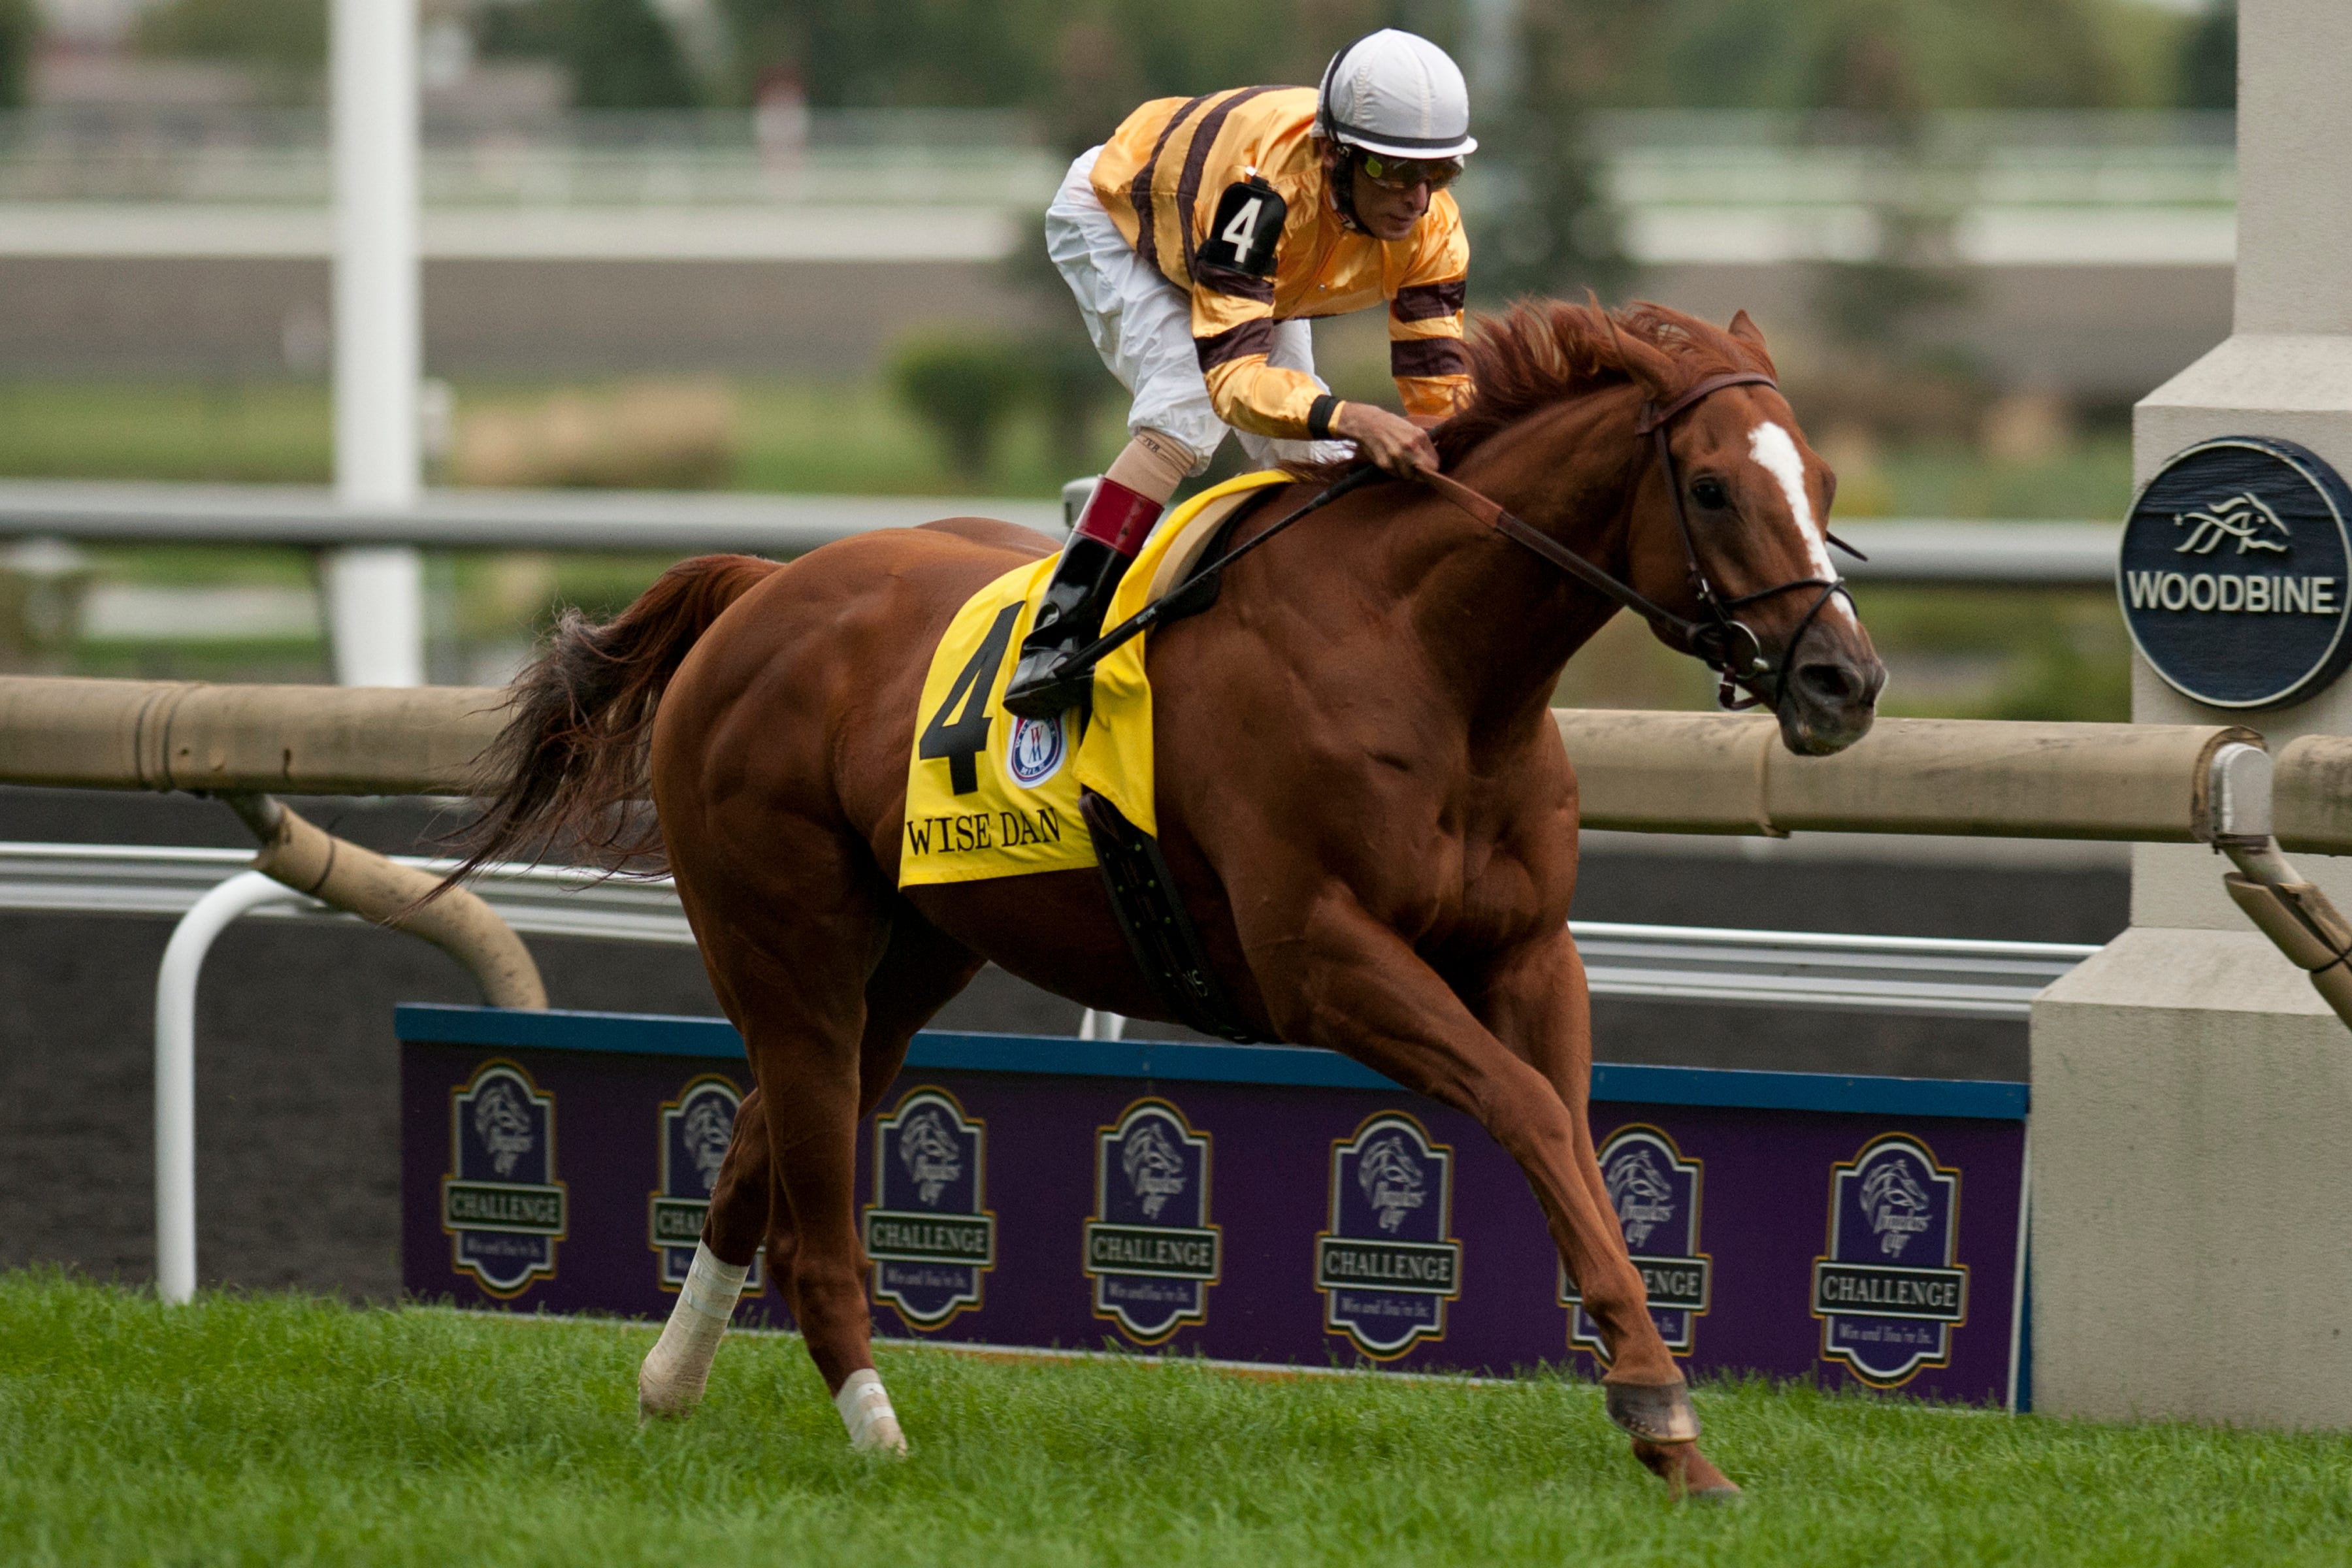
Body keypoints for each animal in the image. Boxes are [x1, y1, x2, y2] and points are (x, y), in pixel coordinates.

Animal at [455, 299, 1884, 1499]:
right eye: (1712, 485)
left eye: (1819, 482)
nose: (1845, 683)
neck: (1432, 664)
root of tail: (762, 590)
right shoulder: (1322, 963)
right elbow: (1530, 1110)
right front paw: (1655, 1402)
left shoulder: (1530, 952)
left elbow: (1577, 1140)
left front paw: (1673, 1432)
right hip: (781, 935)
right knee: (808, 1208)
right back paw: (876, 1429)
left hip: (912, 958)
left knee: (757, 1152)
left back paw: (668, 1387)